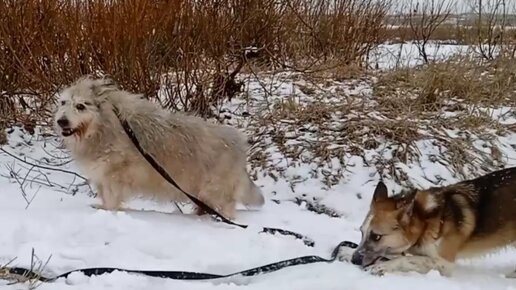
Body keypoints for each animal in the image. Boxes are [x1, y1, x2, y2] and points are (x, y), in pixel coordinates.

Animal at [54, 76, 264, 219]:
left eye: (81, 106)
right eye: (63, 103)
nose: (61, 121)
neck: (105, 126)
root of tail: (240, 145)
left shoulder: (114, 175)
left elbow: (111, 200)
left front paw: (108, 213)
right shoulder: (102, 176)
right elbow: (105, 197)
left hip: (216, 193)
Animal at [350, 167, 516, 278]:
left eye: (377, 236)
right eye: (361, 232)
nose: (354, 260)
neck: (426, 221)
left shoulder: (444, 263)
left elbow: (405, 259)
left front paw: (383, 266)